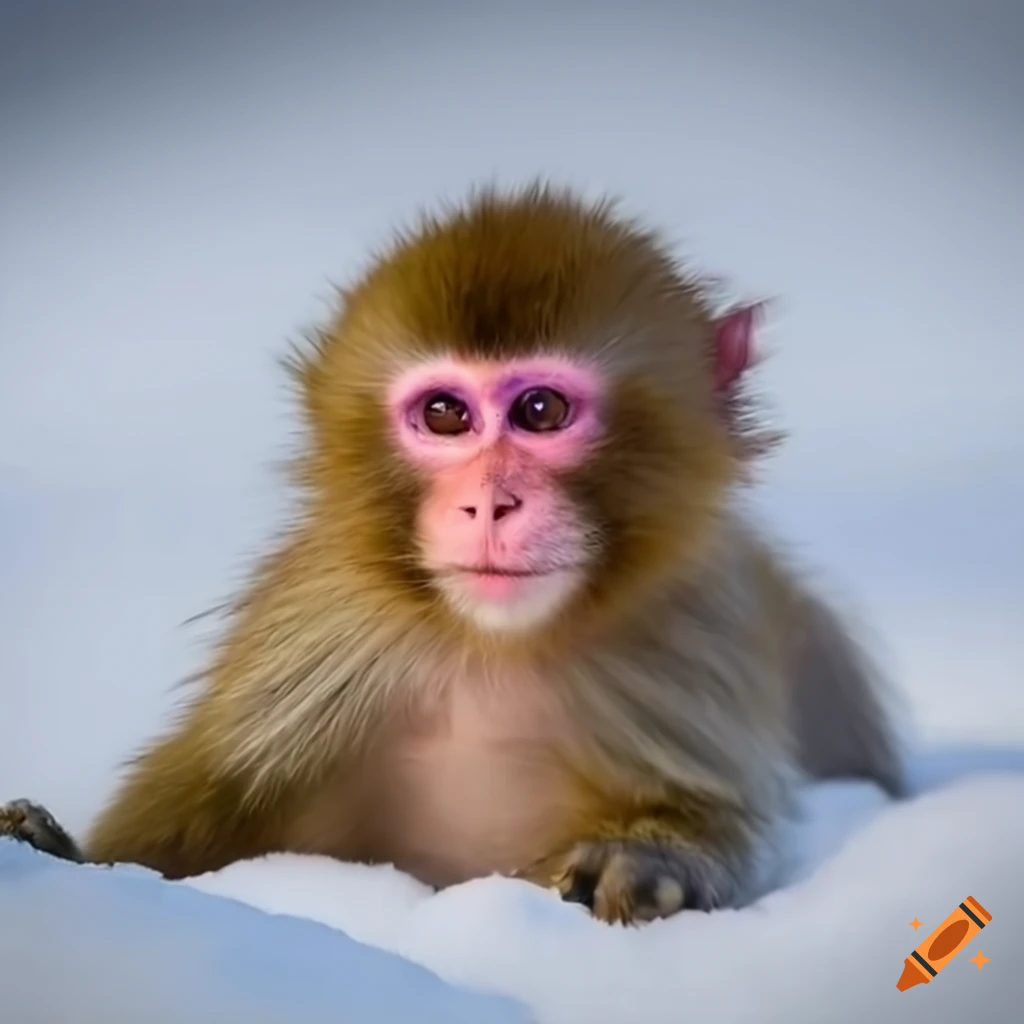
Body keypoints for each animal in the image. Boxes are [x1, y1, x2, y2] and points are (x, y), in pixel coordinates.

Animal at [1, 182, 904, 925]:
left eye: (540, 410)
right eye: (444, 414)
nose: (488, 503)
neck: (496, 651)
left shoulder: (699, 641)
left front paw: (650, 855)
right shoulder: (319, 645)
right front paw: (57, 850)